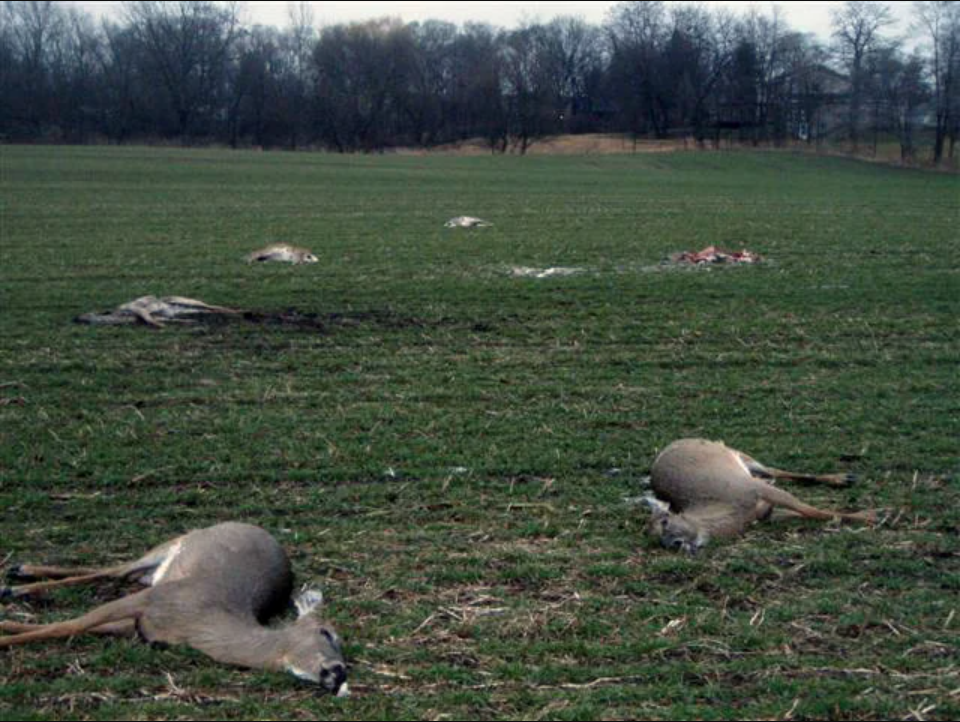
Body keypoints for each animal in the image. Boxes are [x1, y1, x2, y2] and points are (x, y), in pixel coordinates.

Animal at [0, 522, 349, 697]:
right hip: (169, 548)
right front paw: (3, 635)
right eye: (326, 632)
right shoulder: (154, 599)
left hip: (152, 573)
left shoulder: (139, 624)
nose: (339, 673)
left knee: (114, 574)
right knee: (113, 570)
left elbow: (78, 625)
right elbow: (68, 625)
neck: (199, 622)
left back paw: (17, 576)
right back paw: (16, 579)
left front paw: (7, 627)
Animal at [644, 438, 876, 554]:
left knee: (773, 470)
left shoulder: (753, 488)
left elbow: (811, 509)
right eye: (657, 541)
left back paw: (845, 478)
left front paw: (873, 515)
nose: (675, 544)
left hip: (741, 455)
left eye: (665, 520)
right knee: (772, 473)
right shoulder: (764, 511)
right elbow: (802, 513)